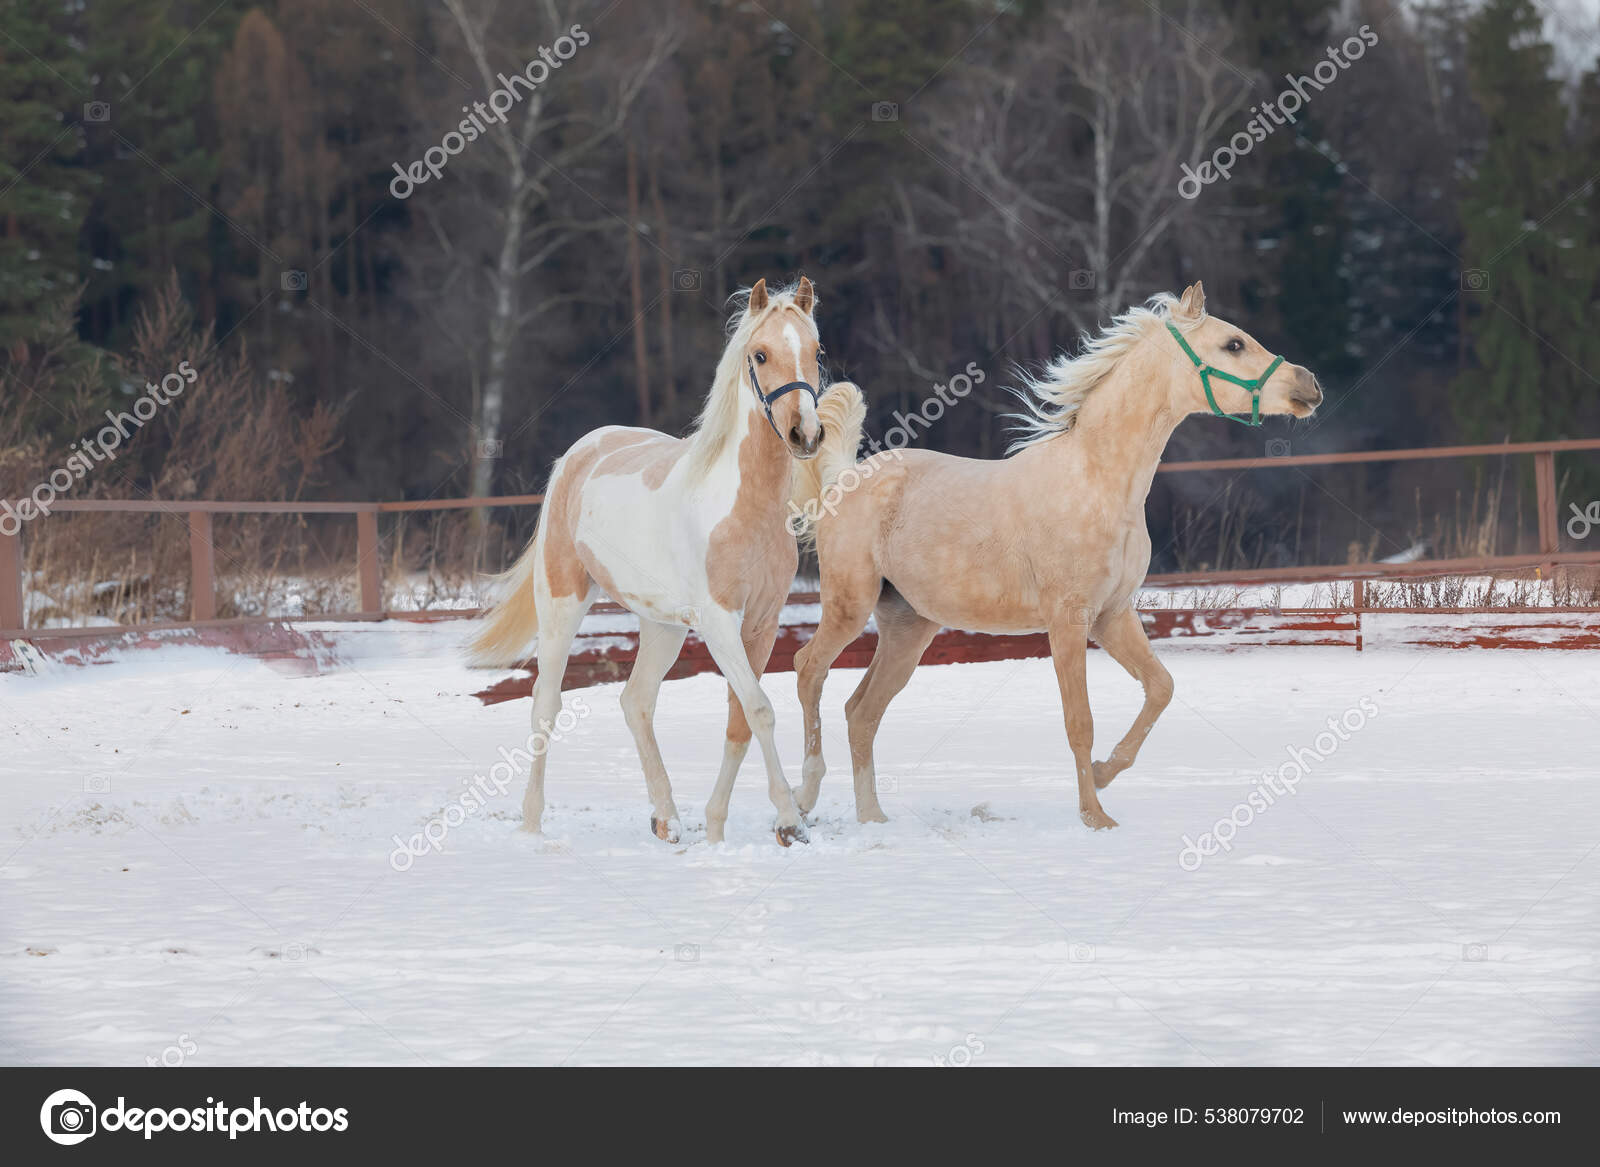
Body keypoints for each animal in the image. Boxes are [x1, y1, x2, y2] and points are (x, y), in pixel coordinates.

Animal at [469, 276, 862, 846]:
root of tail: (579, 454)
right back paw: (532, 822)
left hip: (663, 625)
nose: (805, 436)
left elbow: (740, 719)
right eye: (760, 354)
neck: (744, 507)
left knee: (636, 701)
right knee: (545, 703)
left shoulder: (762, 623)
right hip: (562, 603)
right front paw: (789, 822)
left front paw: (717, 827)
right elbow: (760, 709)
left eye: (816, 352)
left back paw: (667, 820)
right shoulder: (720, 623)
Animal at [786, 282, 1323, 830]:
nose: (1309, 384)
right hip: (850, 606)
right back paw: (801, 801)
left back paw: (873, 817)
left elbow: (1161, 687)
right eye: (1233, 344)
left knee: (861, 712)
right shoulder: (1068, 619)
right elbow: (1079, 721)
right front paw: (1095, 817)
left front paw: (1106, 773)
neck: (1099, 484)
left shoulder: (1112, 615)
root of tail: (843, 480)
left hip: (908, 627)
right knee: (809, 669)